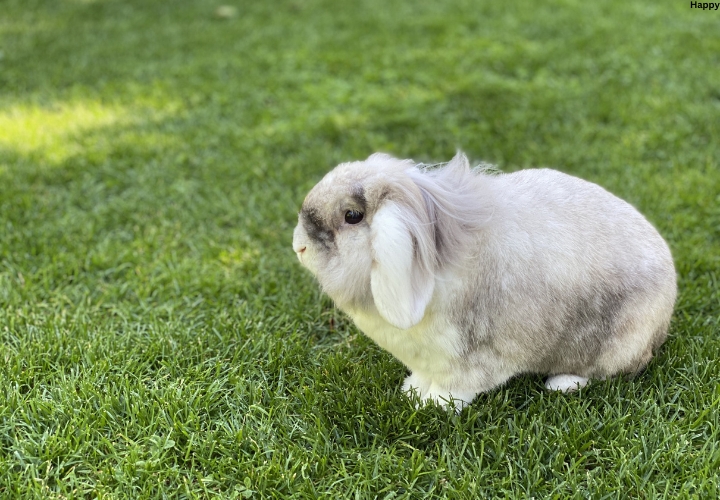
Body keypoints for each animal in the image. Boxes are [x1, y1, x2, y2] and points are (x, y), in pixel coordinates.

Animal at [292, 152, 676, 410]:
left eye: (352, 216)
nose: (299, 247)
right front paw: (412, 391)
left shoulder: (468, 359)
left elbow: (458, 387)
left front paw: (433, 405)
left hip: (616, 346)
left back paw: (562, 384)